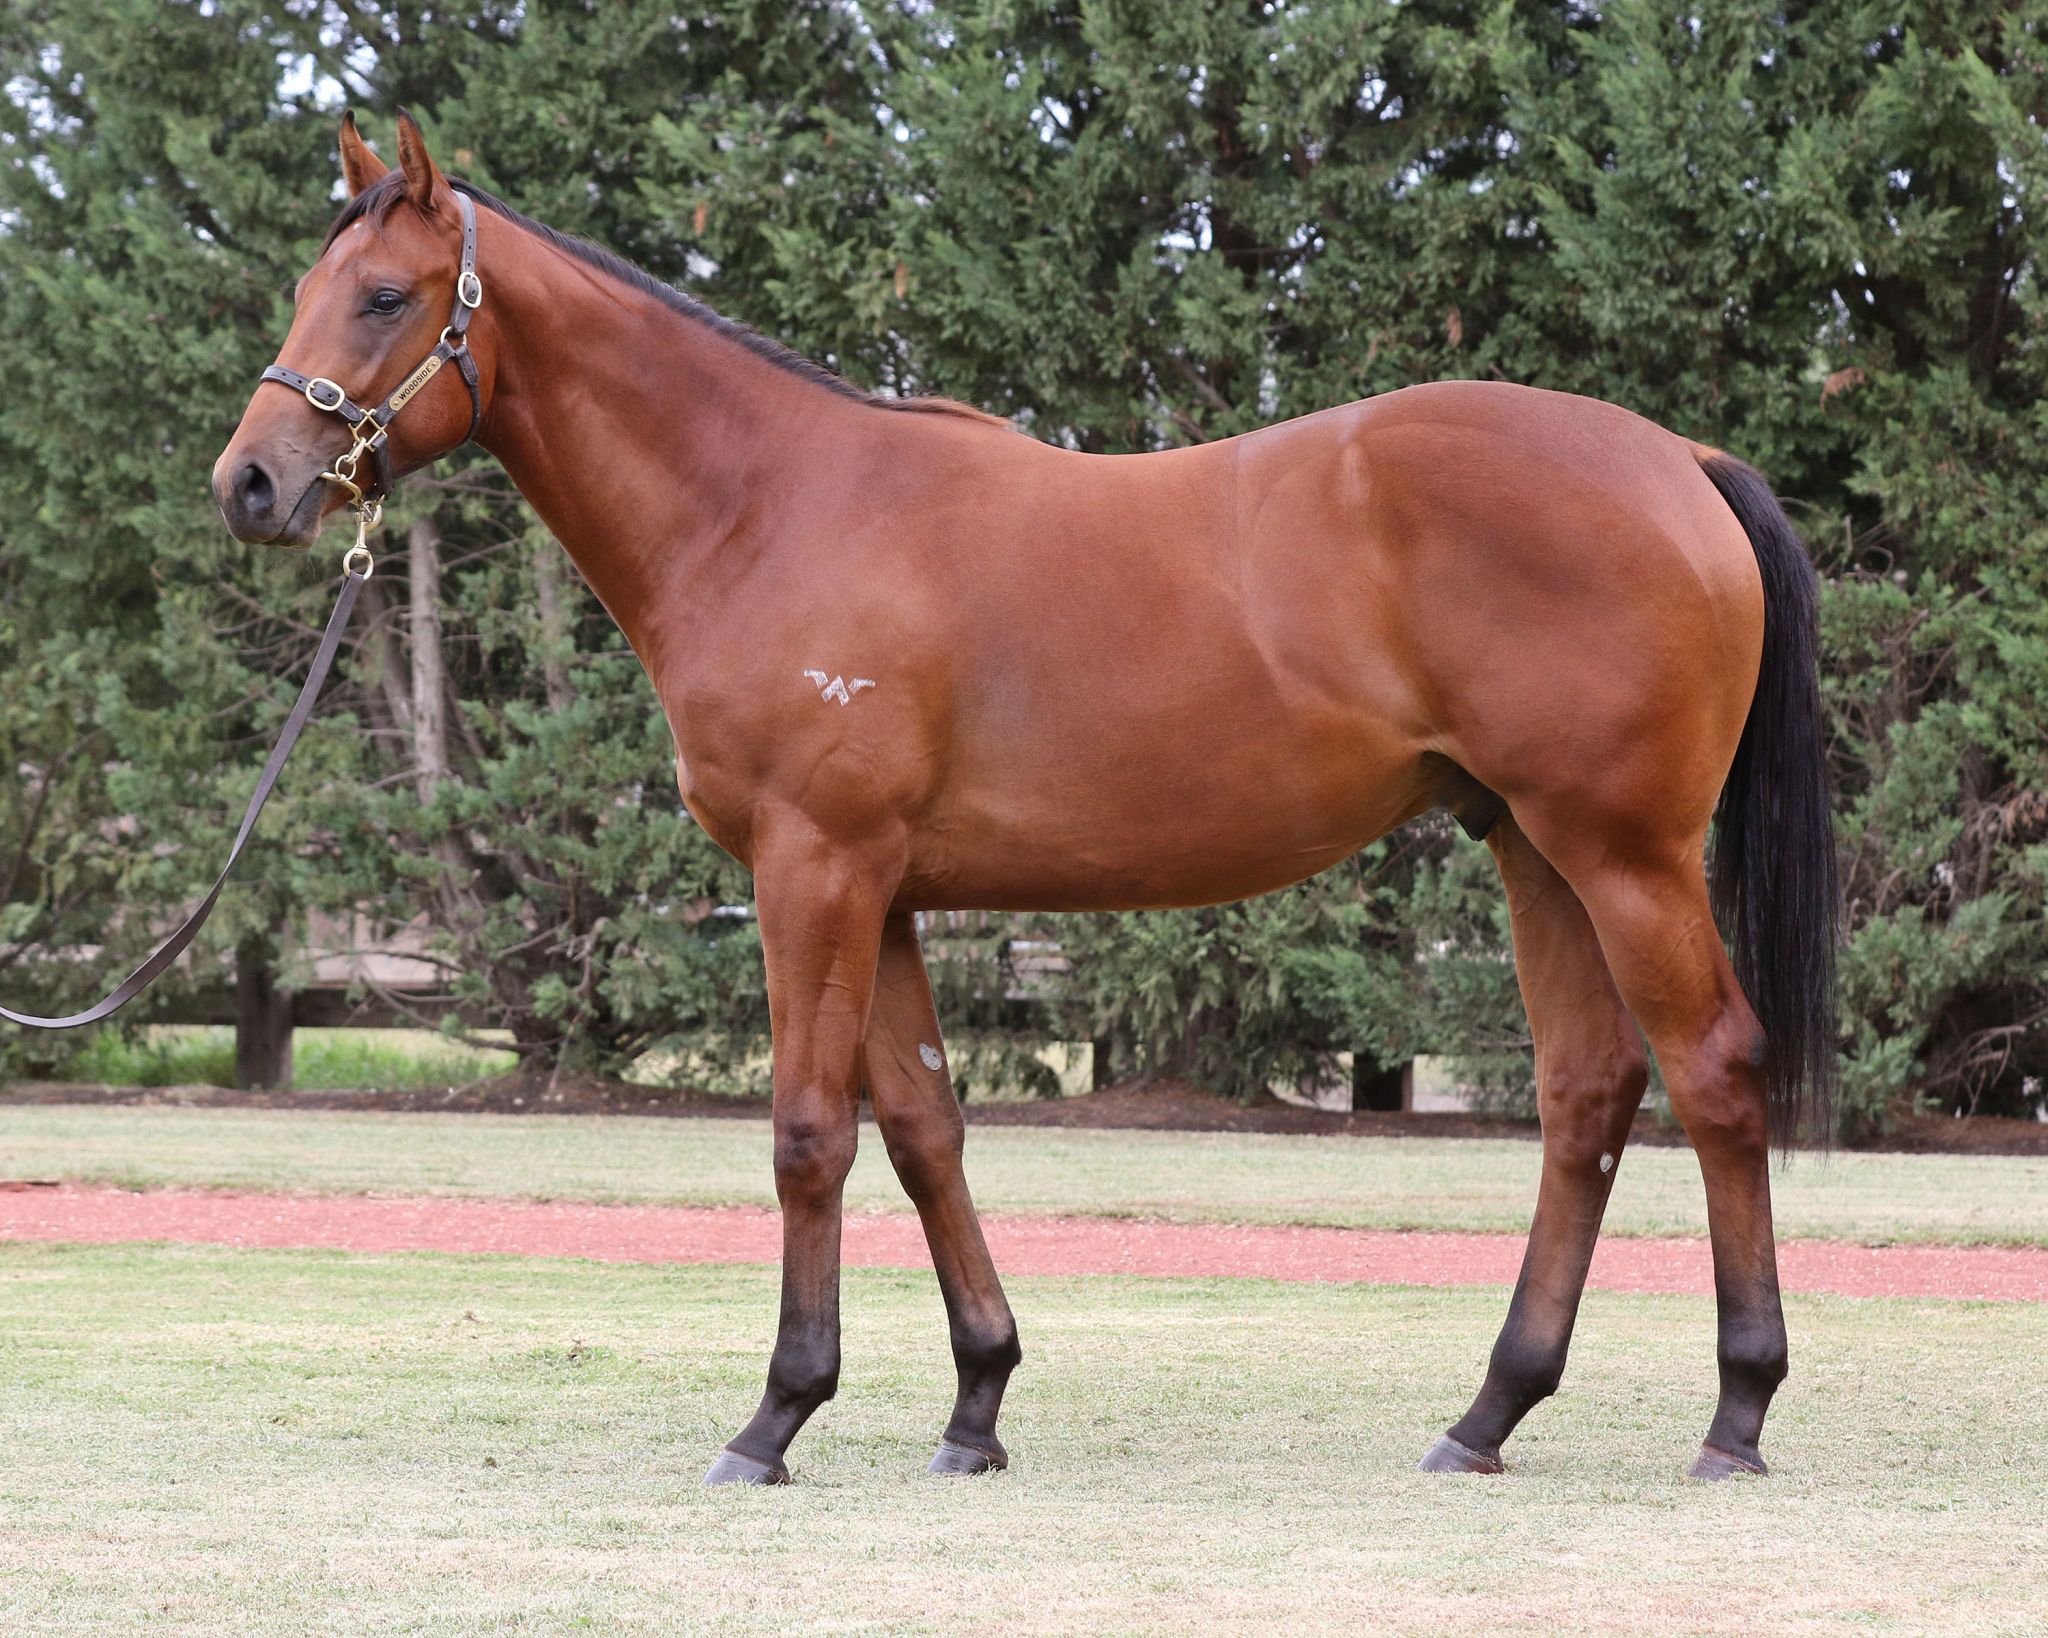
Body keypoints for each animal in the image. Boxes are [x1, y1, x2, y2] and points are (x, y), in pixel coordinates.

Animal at [214, 113, 1837, 1486]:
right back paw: (1488, 1412)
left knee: (1714, 1073)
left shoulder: (813, 870)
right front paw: (976, 1405)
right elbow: (925, 1126)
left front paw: (776, 1416)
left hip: (1624, 854)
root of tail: (1675, 460)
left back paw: (1736, 1415)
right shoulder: (885, 892)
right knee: (1586, 1095)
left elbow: (809, 1133)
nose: (251, 483)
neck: (768, 507)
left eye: (384, 296)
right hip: (1530, 847)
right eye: (308, 285)